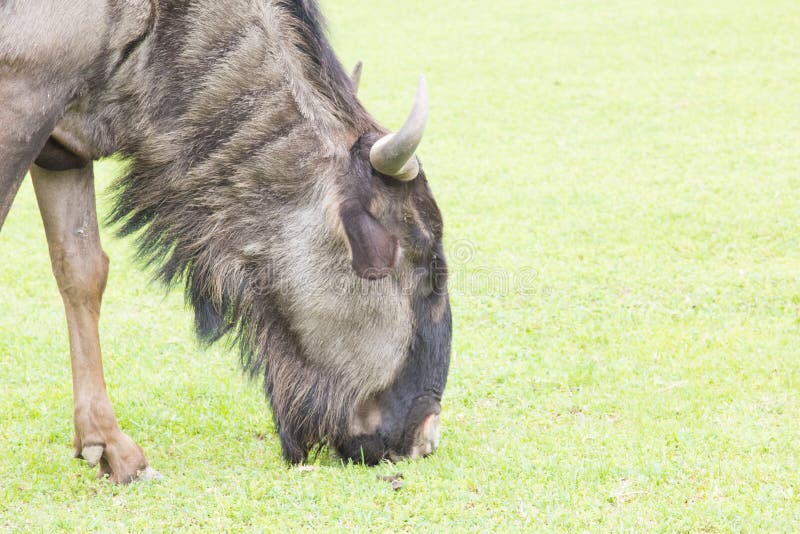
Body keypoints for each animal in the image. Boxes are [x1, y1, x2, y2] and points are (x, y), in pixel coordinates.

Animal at [0, 0, 451, 483]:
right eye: (423, 256)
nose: (424, 437)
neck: (155, 28)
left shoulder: (60, 148)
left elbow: (82, 271)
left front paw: (109, 446)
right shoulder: (24, 97)